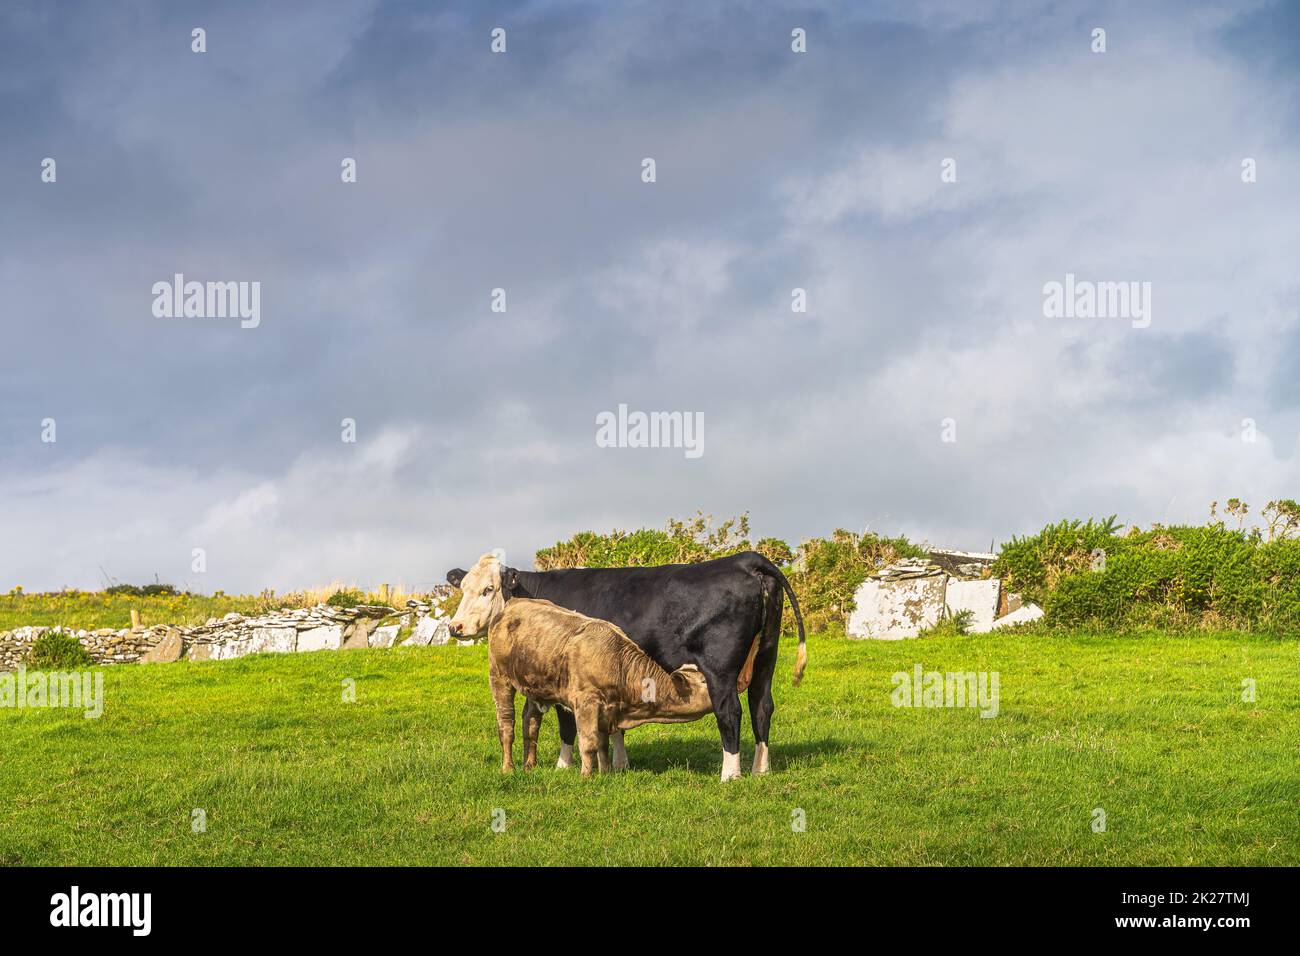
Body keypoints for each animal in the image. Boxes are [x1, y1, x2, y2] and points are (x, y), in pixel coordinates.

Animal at [488, 598, 714, 776]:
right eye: (704, 682)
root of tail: (513, 603)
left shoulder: (608, 710)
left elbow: (603, 744)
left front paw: (605, 772)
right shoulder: (585, 703)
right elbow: (588, 743)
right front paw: (587, 776)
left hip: (535, 687)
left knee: (530, 723)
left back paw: (529, 766)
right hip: (499, 677)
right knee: (506, 724)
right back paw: (508, 768)